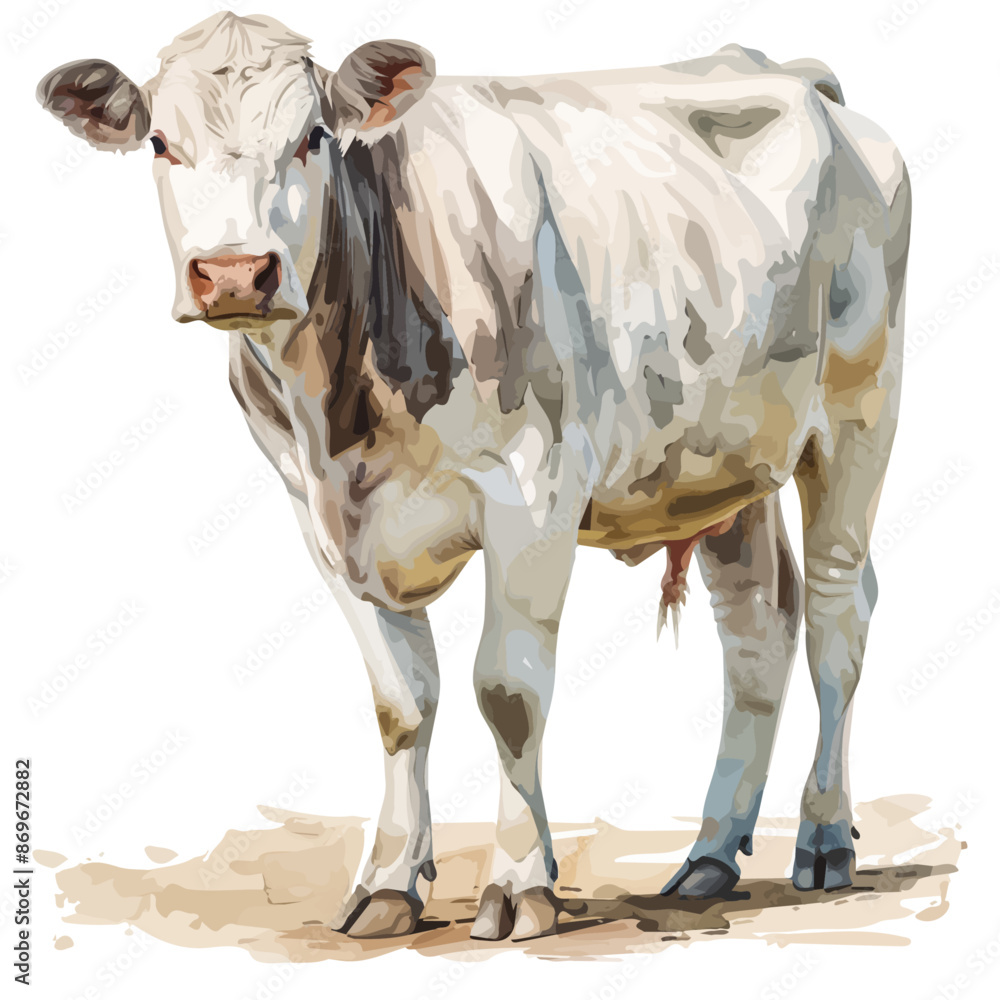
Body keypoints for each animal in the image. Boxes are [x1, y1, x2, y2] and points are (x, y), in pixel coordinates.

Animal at [38, 12, 910, 941]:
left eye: (313, 137)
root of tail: (796, 73)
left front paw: (521, 882)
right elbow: (401, 704)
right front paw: (388, 882)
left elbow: (508, 690)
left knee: (837, 616)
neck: (341, 416)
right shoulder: (319, 519)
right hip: (722, 457)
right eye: (160, 142)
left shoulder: (533, 493)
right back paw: (711, 853)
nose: (236, 272)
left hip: (856, 418)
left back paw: (824, 837)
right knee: (757, 626)